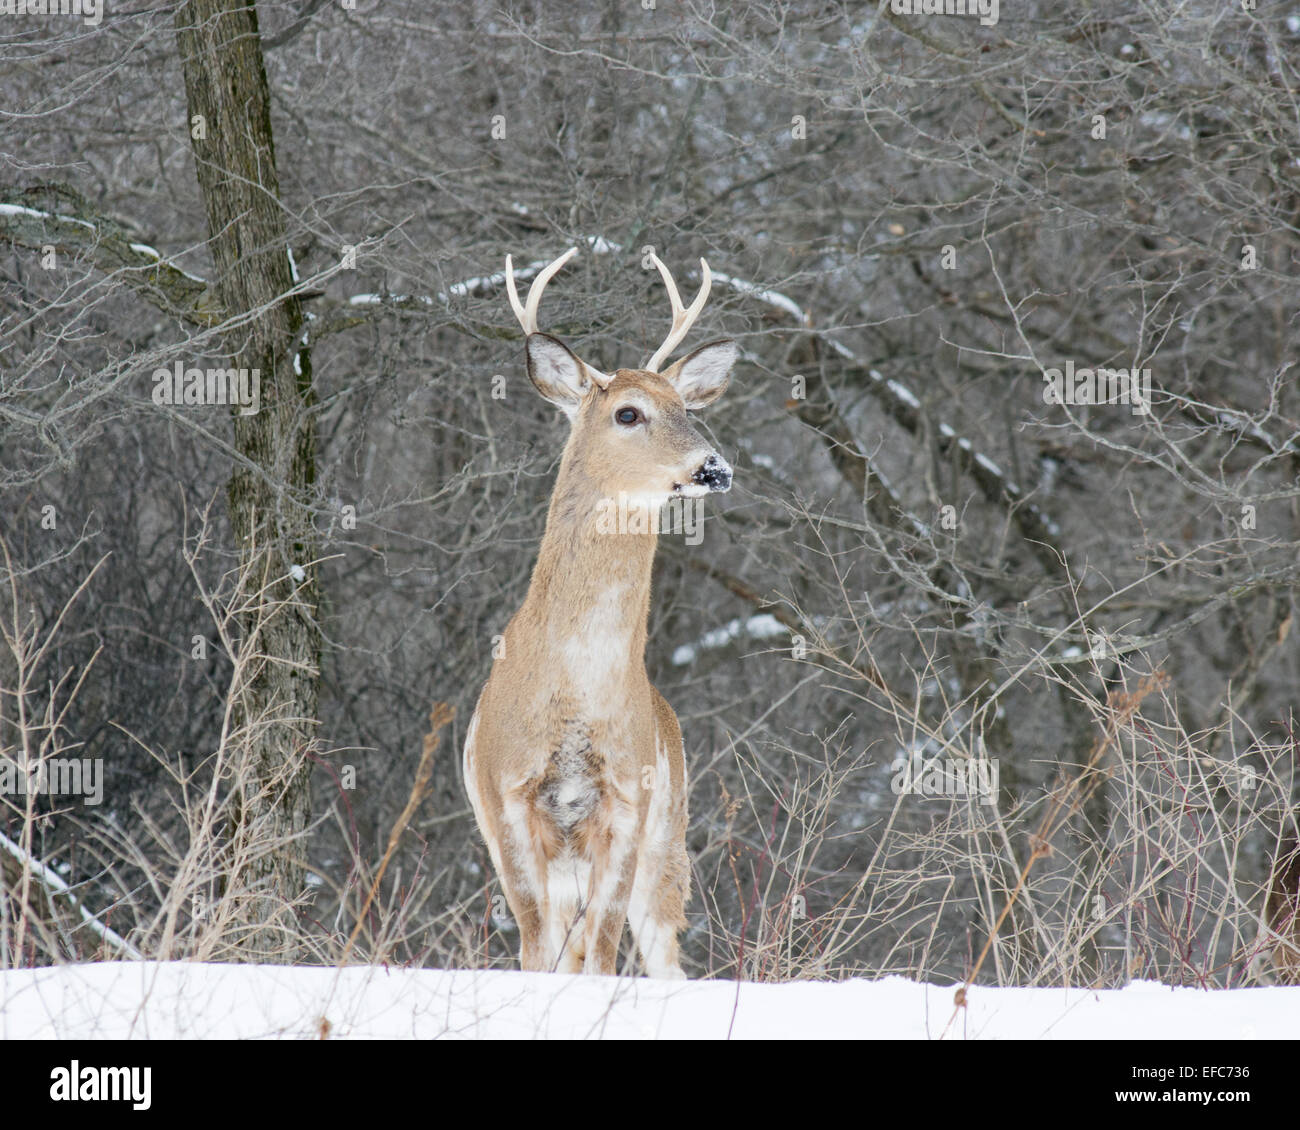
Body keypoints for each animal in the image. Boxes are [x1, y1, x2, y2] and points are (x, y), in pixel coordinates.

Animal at [462, 248, 737, 978]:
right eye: (629, 414)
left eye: (686, 407)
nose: (714, 467)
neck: (577, 688)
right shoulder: (507, 794)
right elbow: (536, 952)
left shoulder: (629, 799)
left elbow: (605, 954)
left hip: (668, 844)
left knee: (662, 956)